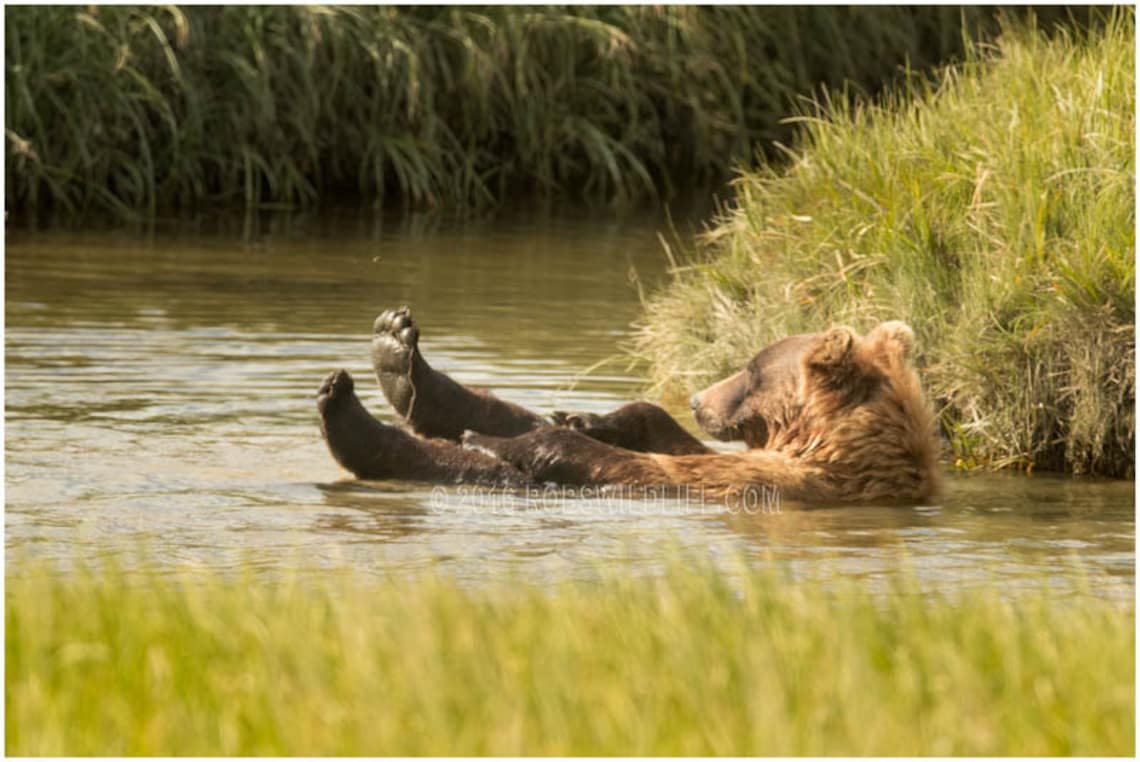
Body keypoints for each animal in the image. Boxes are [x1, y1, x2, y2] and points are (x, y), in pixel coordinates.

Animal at [317, 307, 941, 504]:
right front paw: (588, 416)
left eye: (751, 368)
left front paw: (506, 439)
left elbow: (647, 467)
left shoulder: (771, 480)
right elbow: (657, 430)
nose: (698, 398)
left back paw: (351, 413)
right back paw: (397, 356)